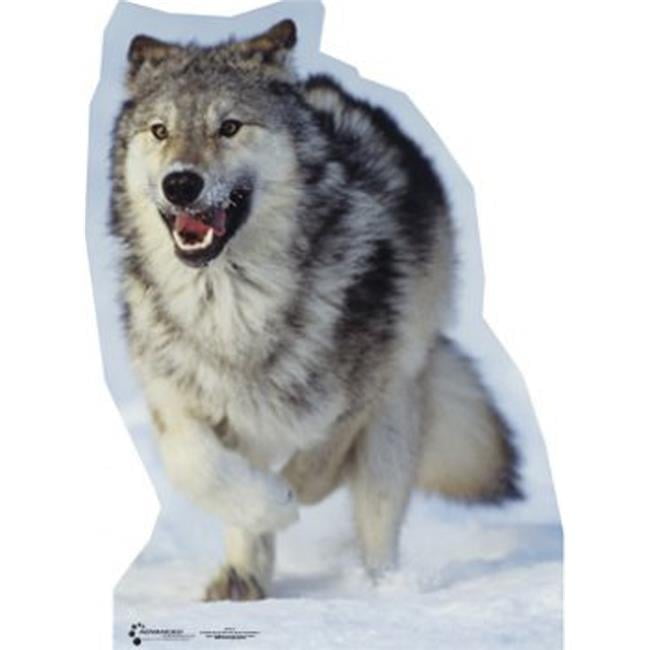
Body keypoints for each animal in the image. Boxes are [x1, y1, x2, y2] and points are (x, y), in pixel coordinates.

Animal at [110, 19, 522, 601]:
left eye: (229, 127)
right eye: (160, 131)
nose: (181, 182)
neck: (232, 303)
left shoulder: (364, 395)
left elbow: (320, 461)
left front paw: (288, 494)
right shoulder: (177, 397)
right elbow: (198, 467)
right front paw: (267, 507)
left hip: (398, 405)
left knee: (376, 518)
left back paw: (379, 591)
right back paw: (242, 578)